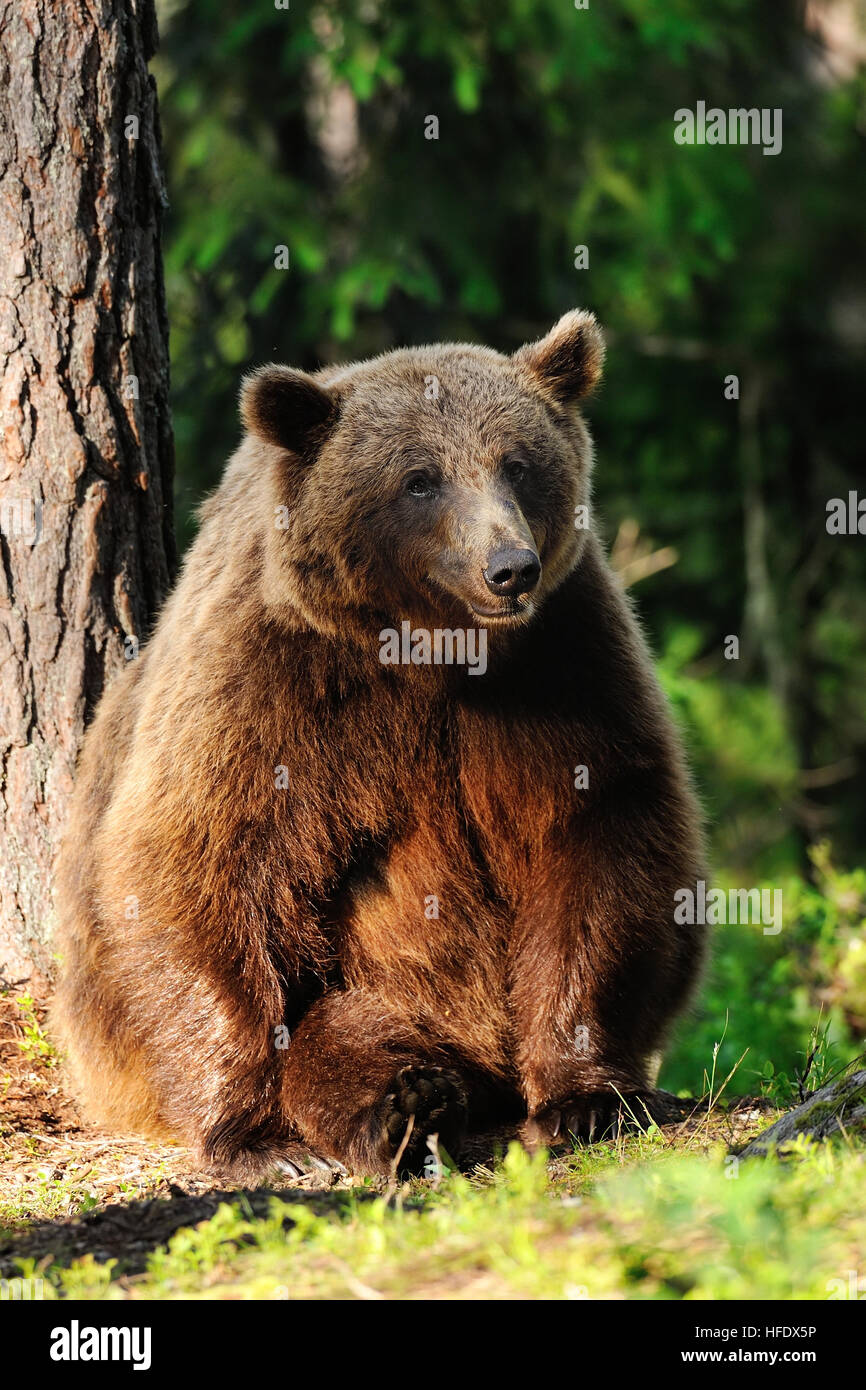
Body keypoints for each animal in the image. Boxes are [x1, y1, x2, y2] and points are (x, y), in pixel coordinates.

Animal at [54, 309, 706, 1180]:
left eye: (519, 462)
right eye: (419, 478)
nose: (510, 567)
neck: (429, 651)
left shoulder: (564, 664)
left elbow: (600, 834)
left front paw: (587, 1096)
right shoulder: (269, 682)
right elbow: (195, 862)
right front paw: (264, 1140)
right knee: (345, 1030)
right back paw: (402, 1101)